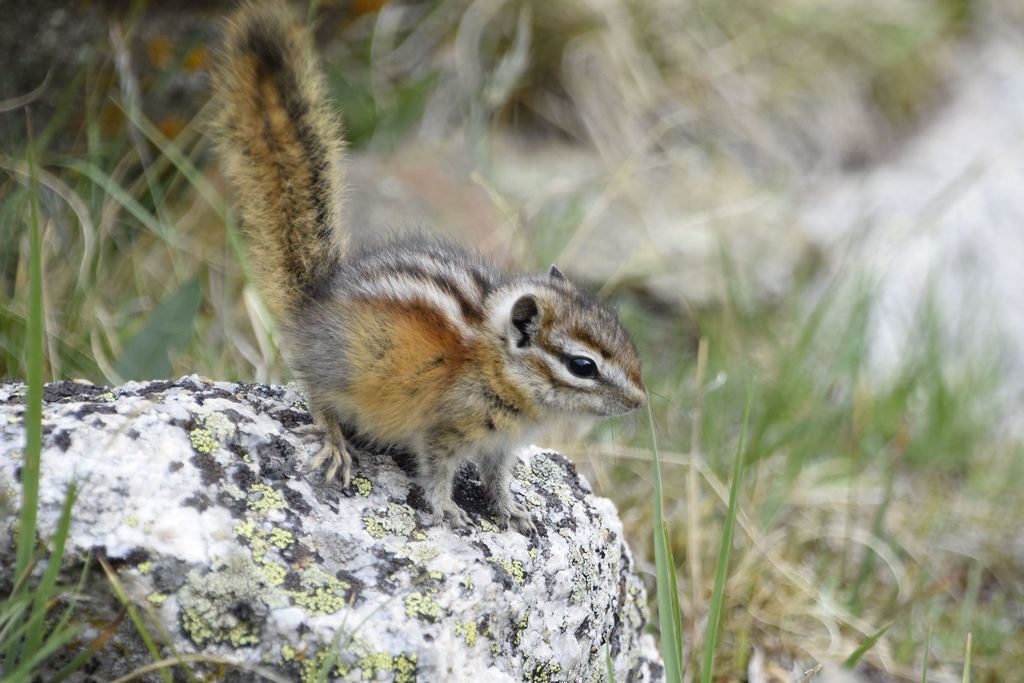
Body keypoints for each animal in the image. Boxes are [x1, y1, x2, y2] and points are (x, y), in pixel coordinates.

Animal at [211, 1, 646, 533]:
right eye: (583, 366)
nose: (639, 402)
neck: (495, 364)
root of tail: (316, 300)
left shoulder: (501, 445)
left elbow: (498, 478)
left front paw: (513, 511)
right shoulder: (445, 427)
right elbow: (436, 469)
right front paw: (448, 510)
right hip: (342, 373)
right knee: (317, 396)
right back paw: (335, 442)